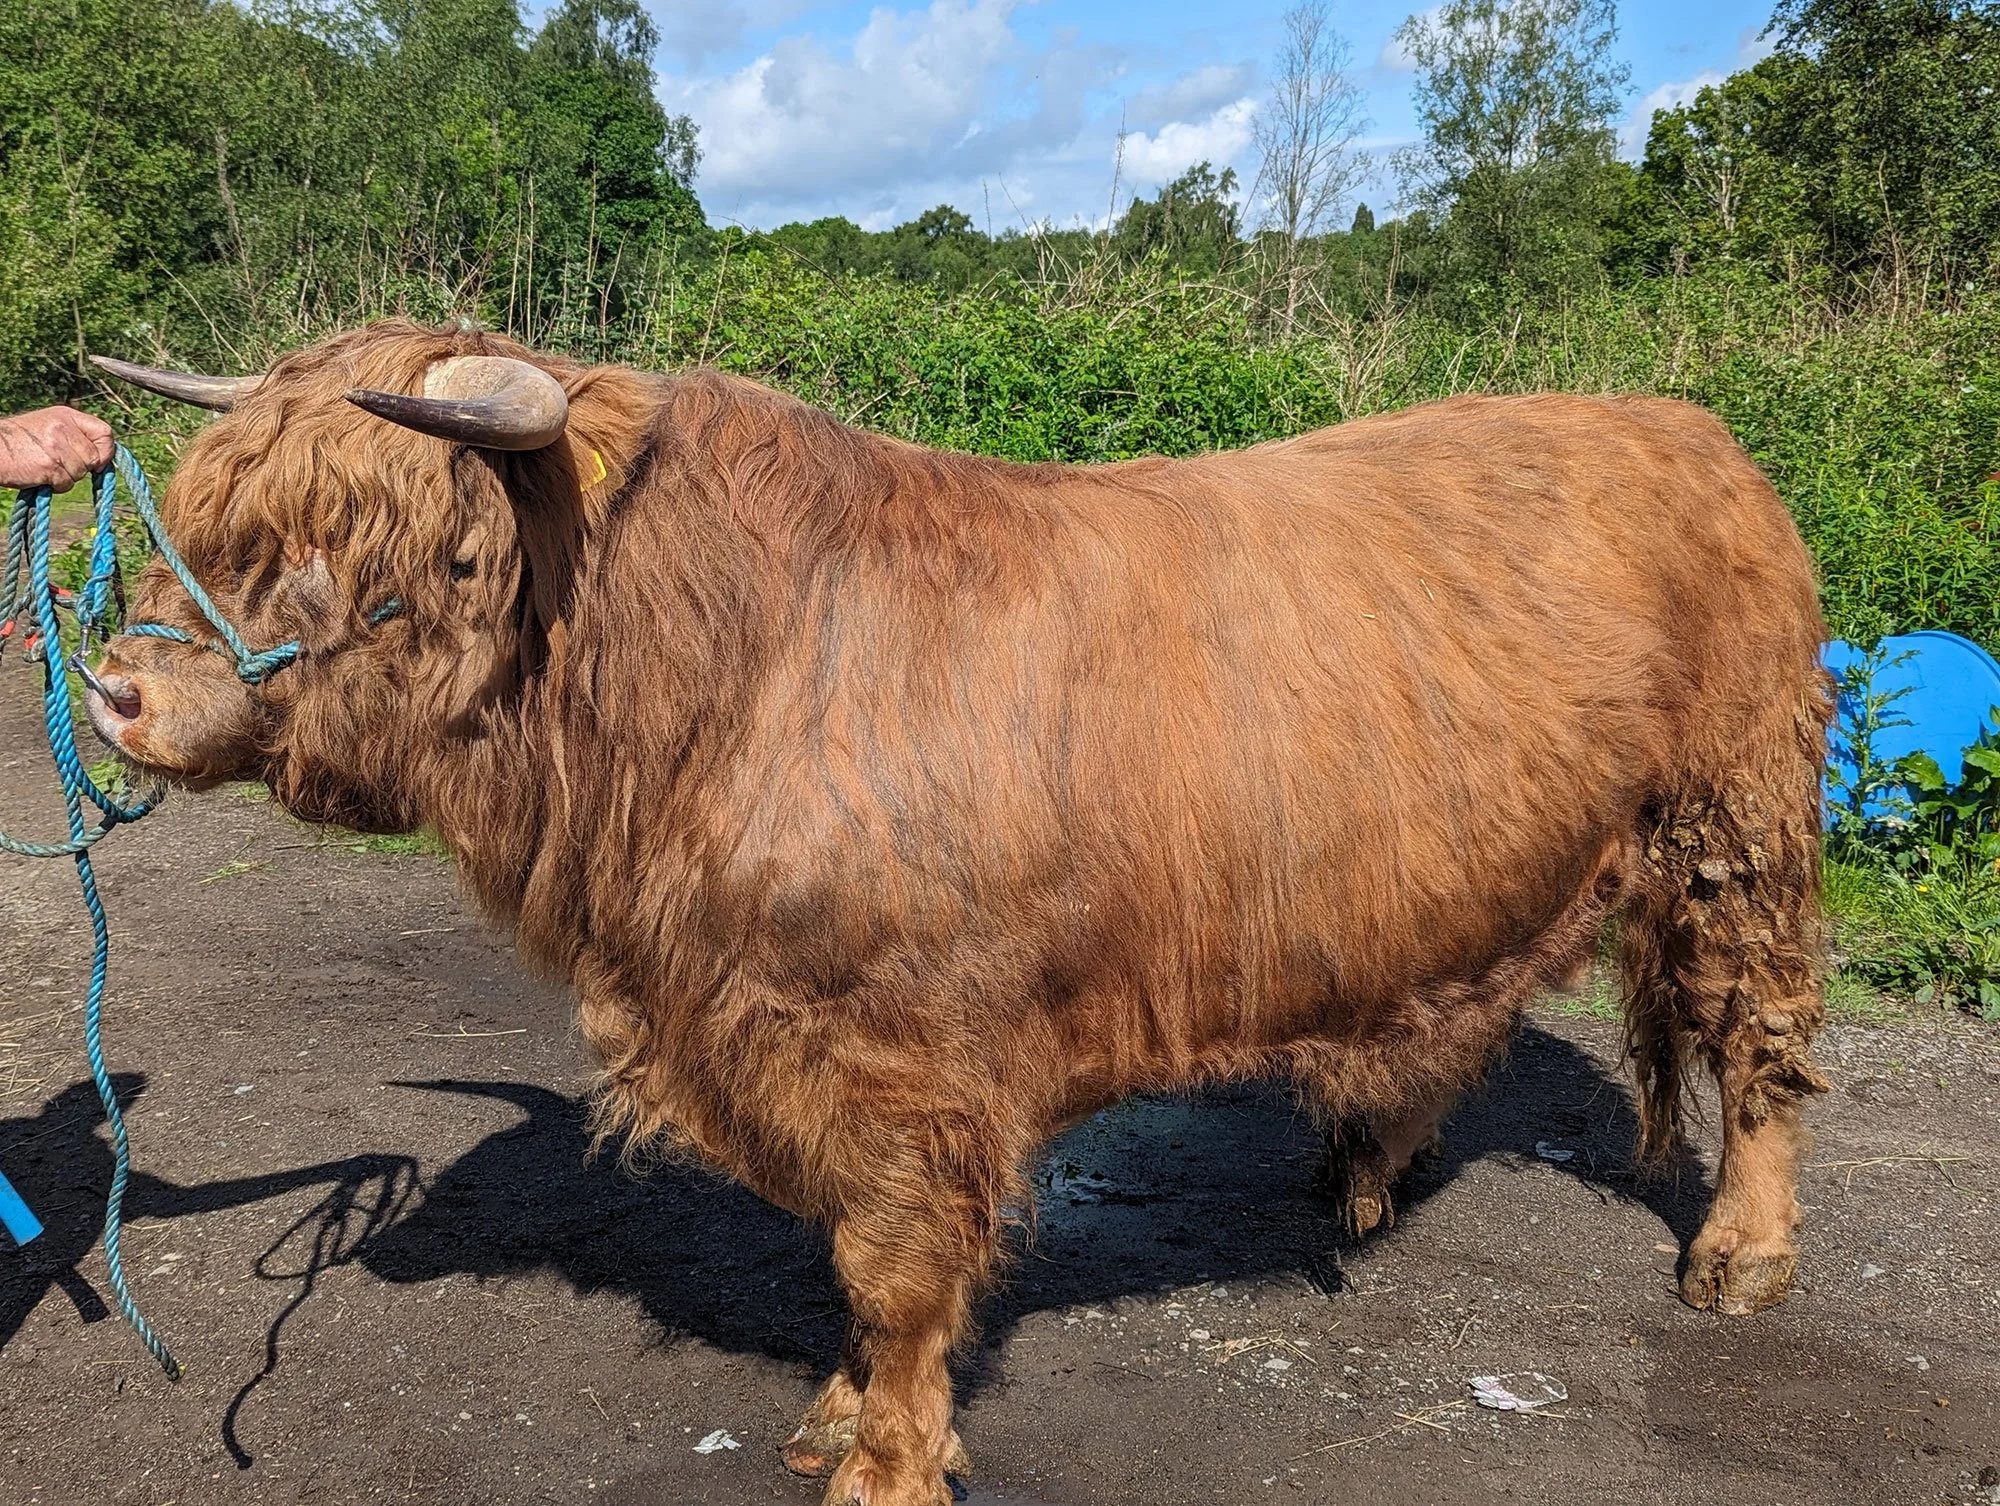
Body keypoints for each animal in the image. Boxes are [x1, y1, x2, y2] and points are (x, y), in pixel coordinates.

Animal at [89, 321, 1832, 1506]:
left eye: (387, 543)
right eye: (215, 512)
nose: (117, 688)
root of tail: (1696, 432)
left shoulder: (905, 1054)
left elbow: (897, 1267)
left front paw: (888, 1454)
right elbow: (853, 1269)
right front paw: (841, 1413)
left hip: (1736, 819)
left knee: (1757, 1037)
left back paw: (1741, 1256)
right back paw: (1358, 1177)